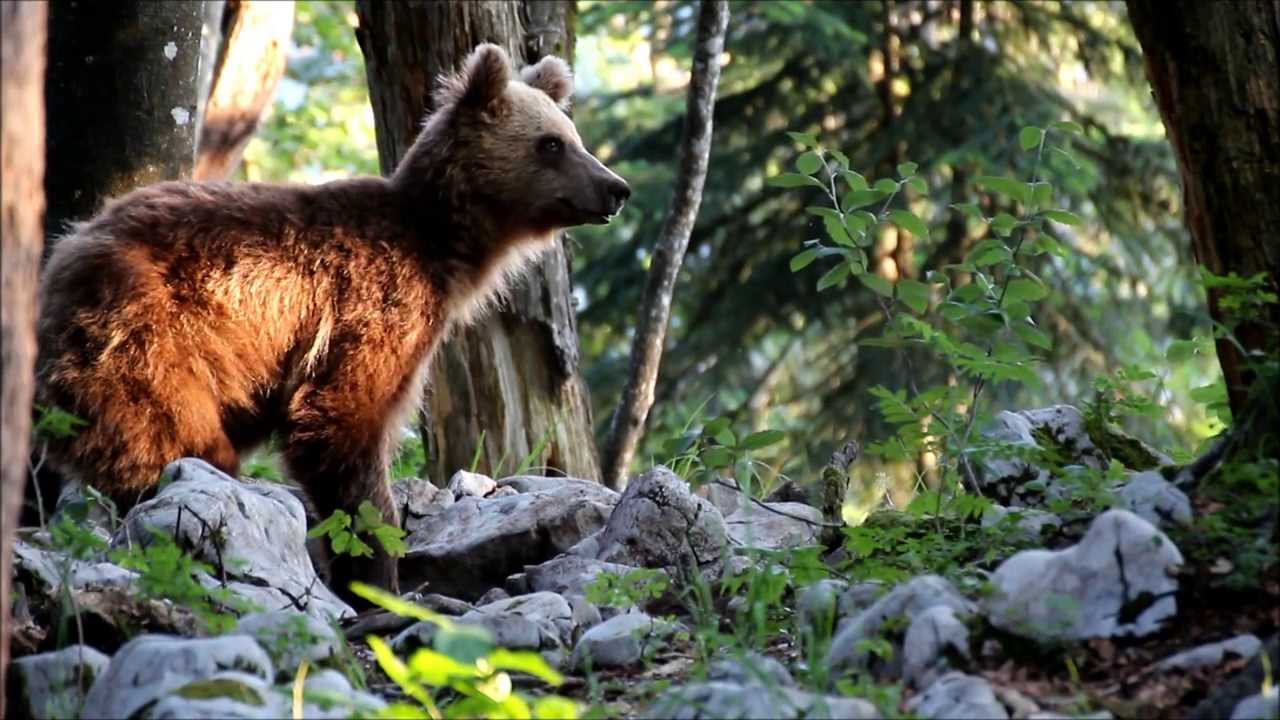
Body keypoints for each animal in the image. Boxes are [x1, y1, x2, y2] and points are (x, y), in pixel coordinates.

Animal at [33, 43, 629, 605]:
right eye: (550, 143)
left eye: (572, 135)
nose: (616, 188)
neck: (446, 249)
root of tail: (63, 255)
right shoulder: (368, 308)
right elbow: (344, 422)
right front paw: (378, 575)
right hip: (149, 337)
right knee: (171, 441)